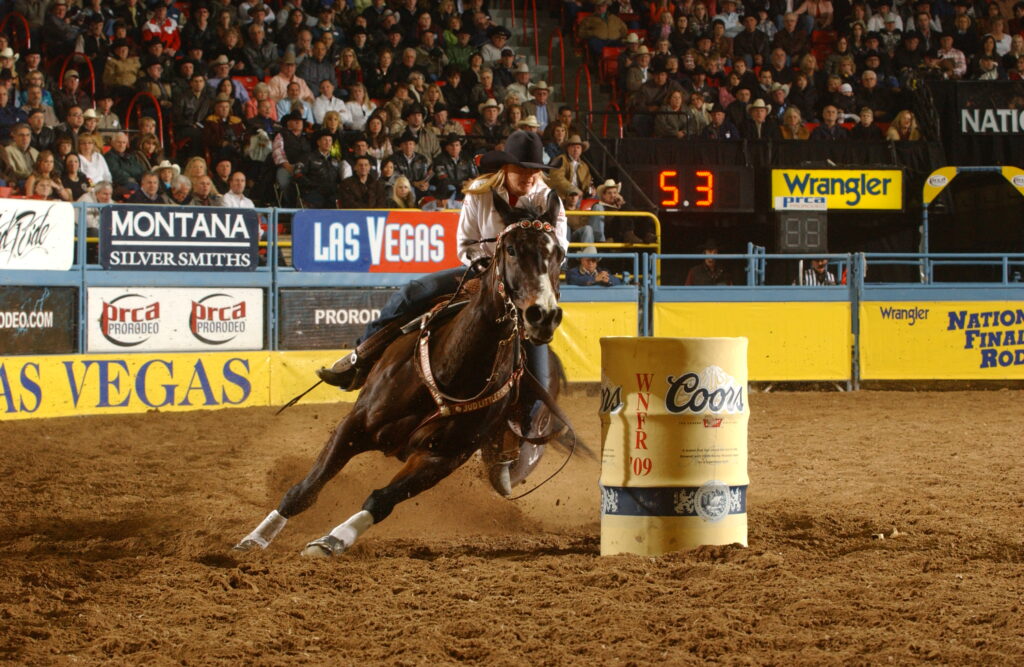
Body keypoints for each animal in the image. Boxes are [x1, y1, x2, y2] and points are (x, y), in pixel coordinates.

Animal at [235, 190, 568, 557]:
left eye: (560, 253)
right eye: (510, 249)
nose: (542, 315)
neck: (452, 367)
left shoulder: (440, 458)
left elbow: (381, 500)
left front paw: (332, 539)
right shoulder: (356, 424)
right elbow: (305, 489)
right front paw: (255, 538)